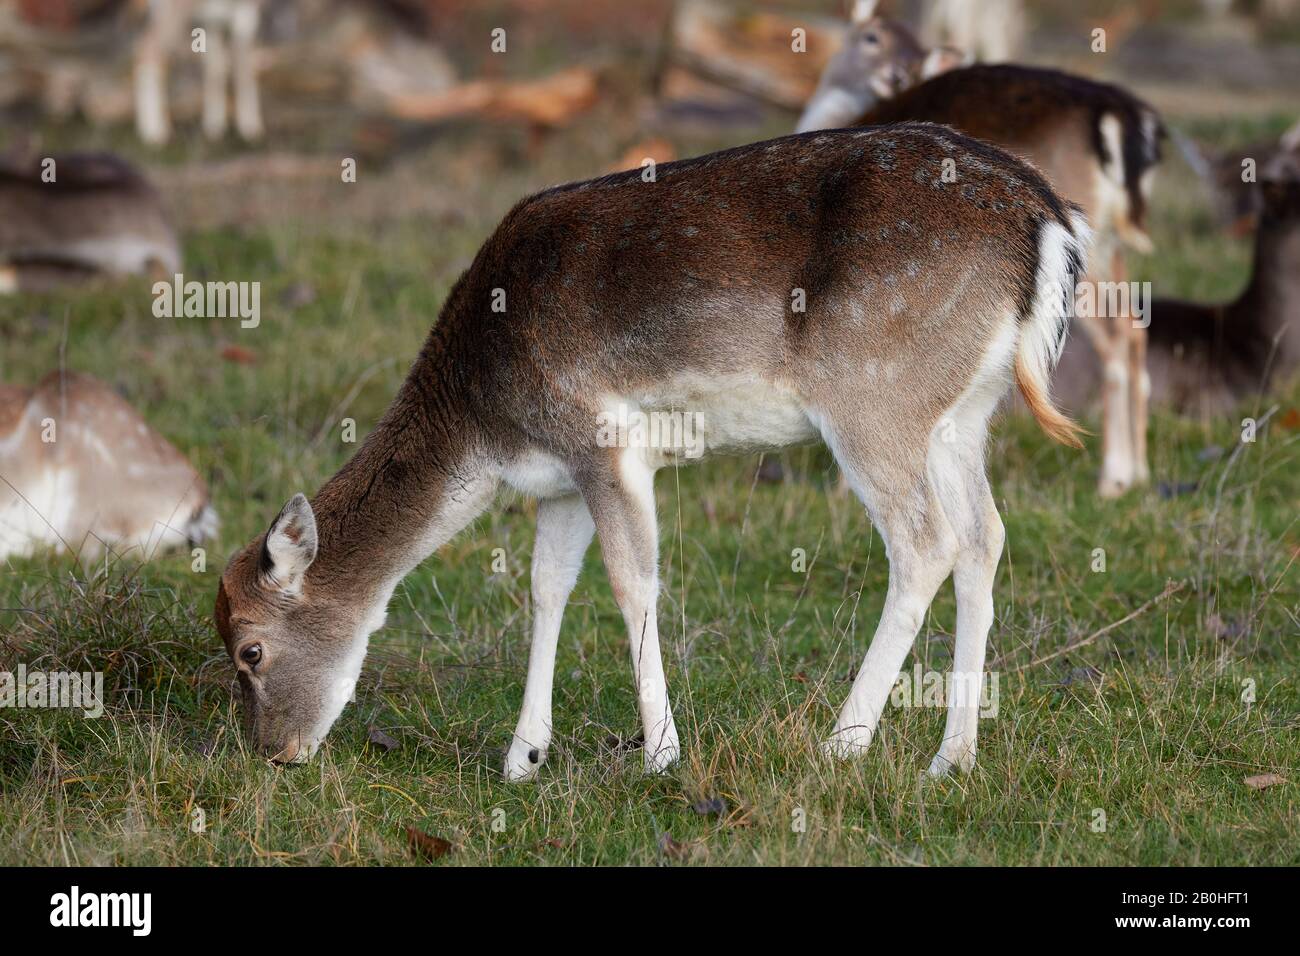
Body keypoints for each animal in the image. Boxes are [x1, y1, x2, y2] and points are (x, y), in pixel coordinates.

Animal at [214, 123, 1090, 778]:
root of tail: (1046, 217)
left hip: (873, 399)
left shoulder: (602, 439)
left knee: (925, 543)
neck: (486, 425)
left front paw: (661, 754)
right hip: (962, 413)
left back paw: (841, 743)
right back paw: (953, 756)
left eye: (250, 650)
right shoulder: (558, 478)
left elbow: (633, 582)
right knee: (984, 536)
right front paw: (522, 758)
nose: (277, 754)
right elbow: (546, 588)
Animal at [797, 1, 1164, 499]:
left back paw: (1112, 476)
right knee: (1133, 324)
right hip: (1106, 245)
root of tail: (1120, 117)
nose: (896, 74)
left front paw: (842, 488)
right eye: (871, 37)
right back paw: (1139, 472)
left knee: (1113, 338)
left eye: (899, 43)